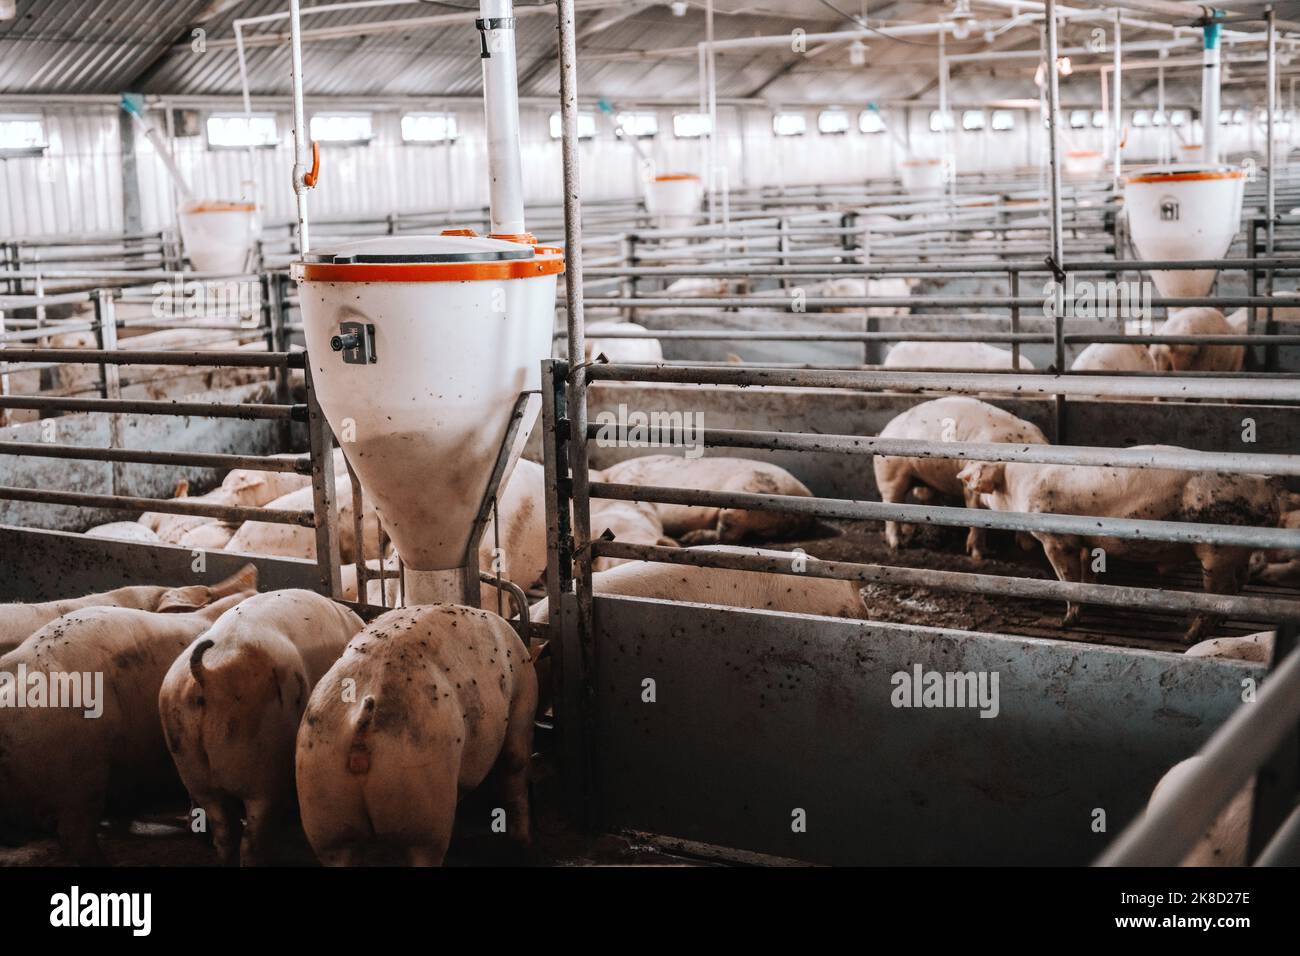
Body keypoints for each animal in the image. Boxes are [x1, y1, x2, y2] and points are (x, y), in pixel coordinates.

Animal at [295, 604, 537, 866]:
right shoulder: (522, 705)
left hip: (323, 803)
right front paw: (523, 842)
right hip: (423, 804)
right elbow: (515, 764)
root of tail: (359, 719)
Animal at [872, 397, 1049, 561]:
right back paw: (897, 544)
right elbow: (977, 519)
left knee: (924, 496)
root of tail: (883, 431)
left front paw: (1028, 547)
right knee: (891, 505)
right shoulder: (970, 486)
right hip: (890, 474)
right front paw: (978, 555)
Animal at [964, 447, 1279, 642]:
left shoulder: (1056, 538)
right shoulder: (1084, 540)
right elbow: (1087, 574)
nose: (962, 480)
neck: (1016, 482)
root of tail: (1264, 486)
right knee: (1238, 585)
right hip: (1235, 553)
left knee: (1220, 593)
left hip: (1216, 551)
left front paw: (1066, 621)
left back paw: (1188, 636)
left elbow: (1067, 579)